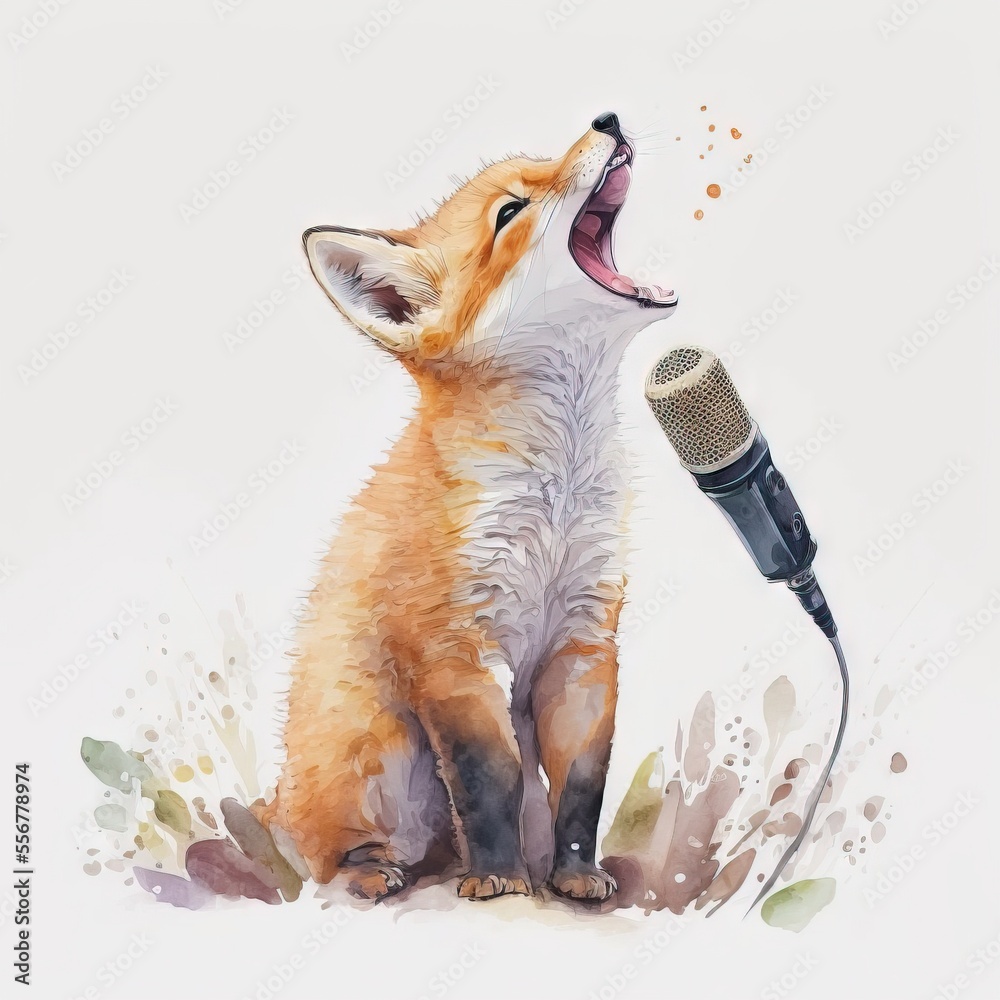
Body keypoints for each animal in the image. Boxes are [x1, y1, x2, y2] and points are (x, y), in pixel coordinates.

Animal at [253, 112, 678, 904]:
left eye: (542, 164)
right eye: (510, 212)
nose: (607, 119)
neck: (556, 494)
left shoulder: (584, 642)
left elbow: (583, 785)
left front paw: (574, 876)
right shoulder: (453, 649)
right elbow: (489, 779)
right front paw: (501, 878)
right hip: (378, 754)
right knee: (332, 855)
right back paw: (375, 871)